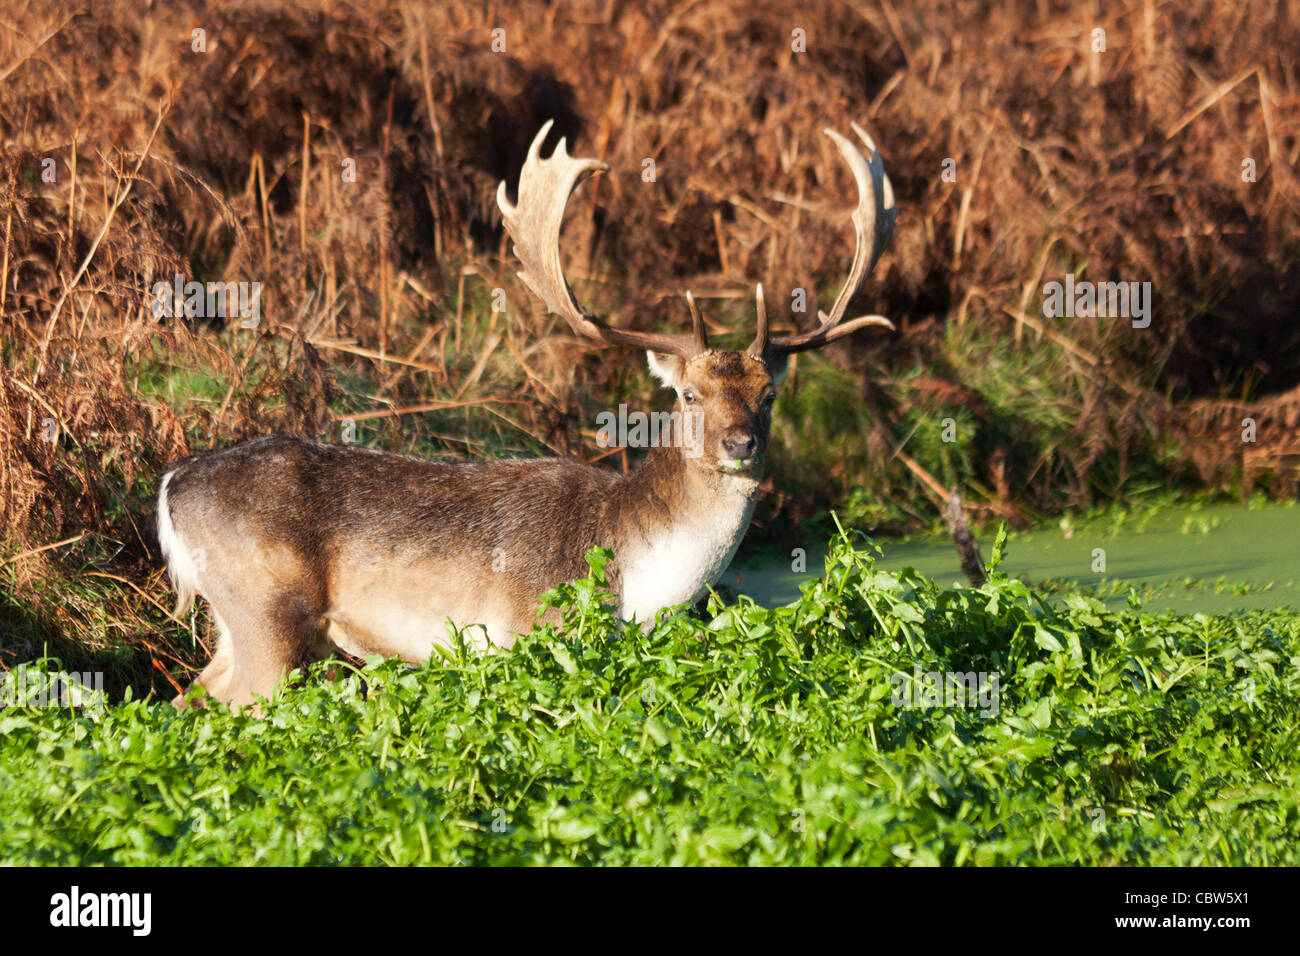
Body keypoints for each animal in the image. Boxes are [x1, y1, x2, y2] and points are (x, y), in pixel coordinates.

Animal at [156, 120, 896, 709]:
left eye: (769, 394)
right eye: (690, 395)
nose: (741, 443)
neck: (637, 575)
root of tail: (170, 486)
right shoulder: (534, 628)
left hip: (235, 624)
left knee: (188, 697)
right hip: (266, 610)